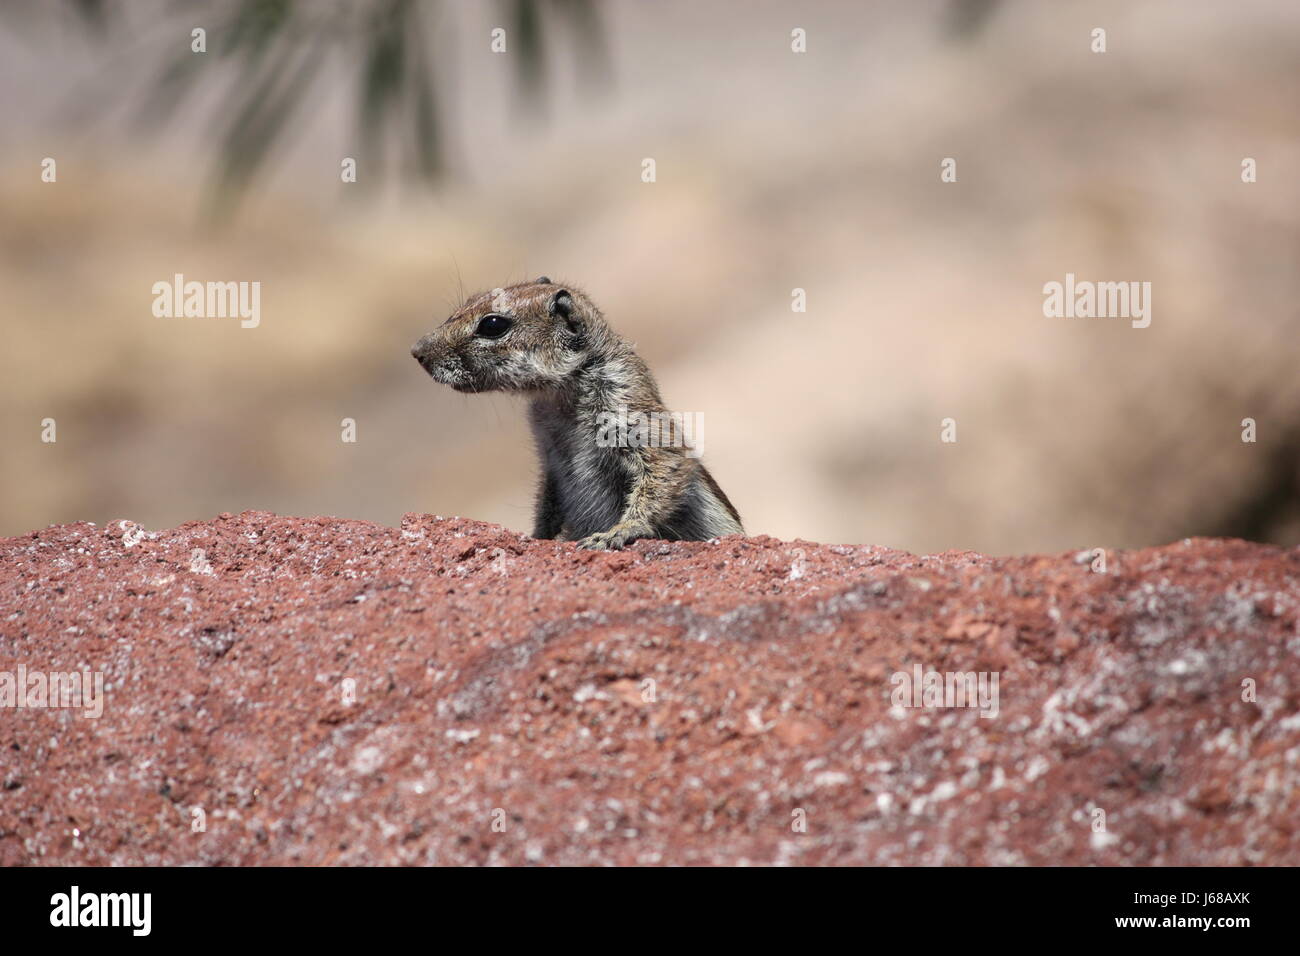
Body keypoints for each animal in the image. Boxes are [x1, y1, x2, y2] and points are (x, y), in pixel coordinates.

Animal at [411, 278, 744, 550]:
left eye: (493, 325)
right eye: (469, 301)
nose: (417, 352)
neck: (559, 397)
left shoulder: (631, 411)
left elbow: (663, 470)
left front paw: (618, 532)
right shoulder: (548, 459)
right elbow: (546, 504)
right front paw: (537, 536)